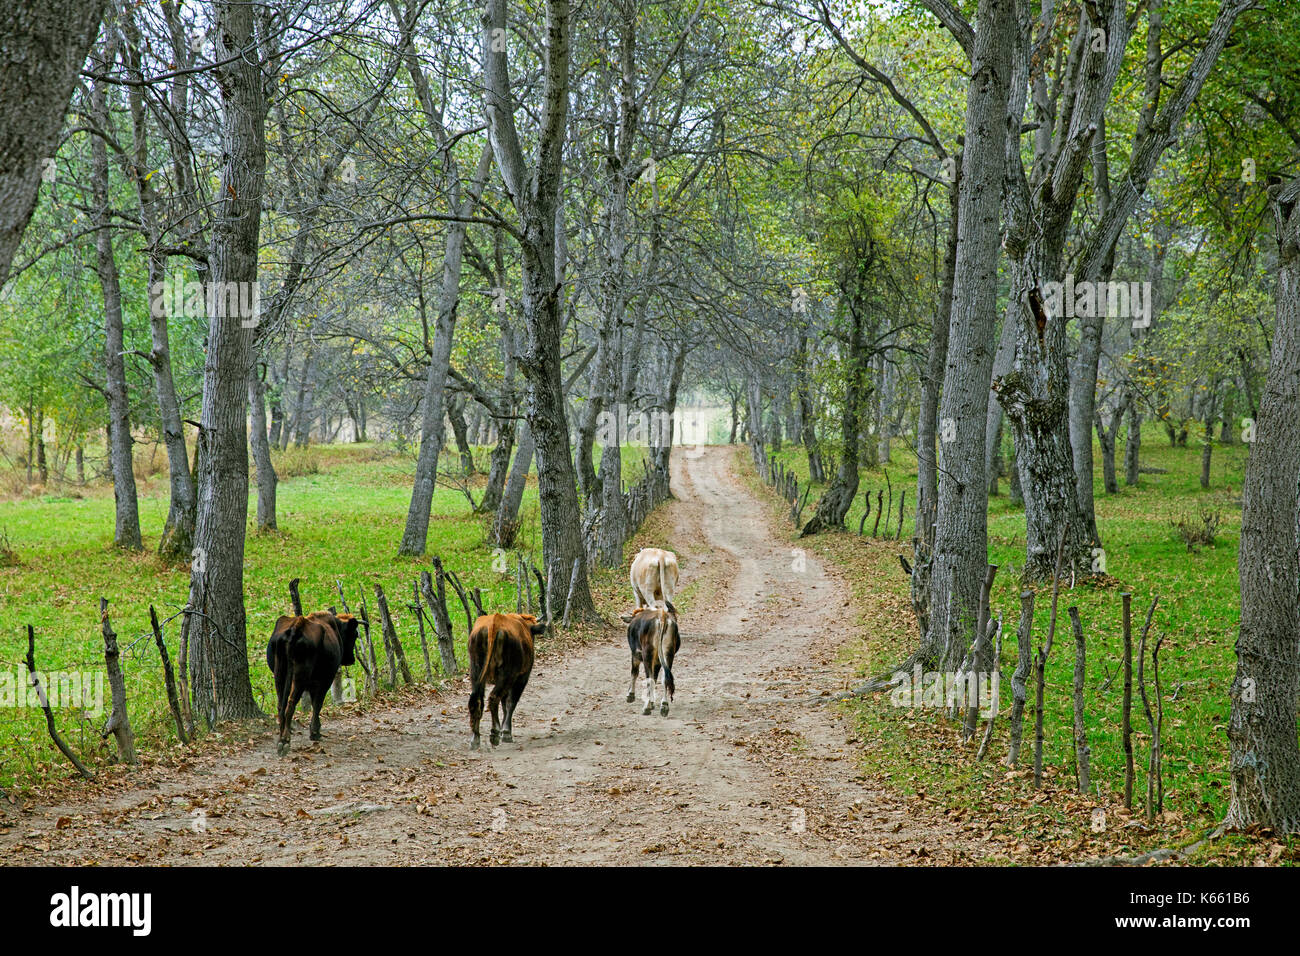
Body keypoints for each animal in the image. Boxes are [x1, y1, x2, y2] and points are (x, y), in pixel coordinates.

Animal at [267, 611, 360, 756]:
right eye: (354, 634)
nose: (352, 659)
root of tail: (296, 627)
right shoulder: (324, 680)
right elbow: (317, 704)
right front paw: (315, 732)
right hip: (300, 676)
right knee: (291, 704)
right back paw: (285, 740)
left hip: (279, 673)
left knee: (281, 705)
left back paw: (281, 739)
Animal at [467, 612, 546, 750]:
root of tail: (495, 622)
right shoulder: (521, 679)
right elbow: (510, 703)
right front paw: (506, 733)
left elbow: (504, 704)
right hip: (507, 676)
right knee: (494, 698)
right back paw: (495, 734)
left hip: (476, 673)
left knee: (476, 701)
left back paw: (475, 739)